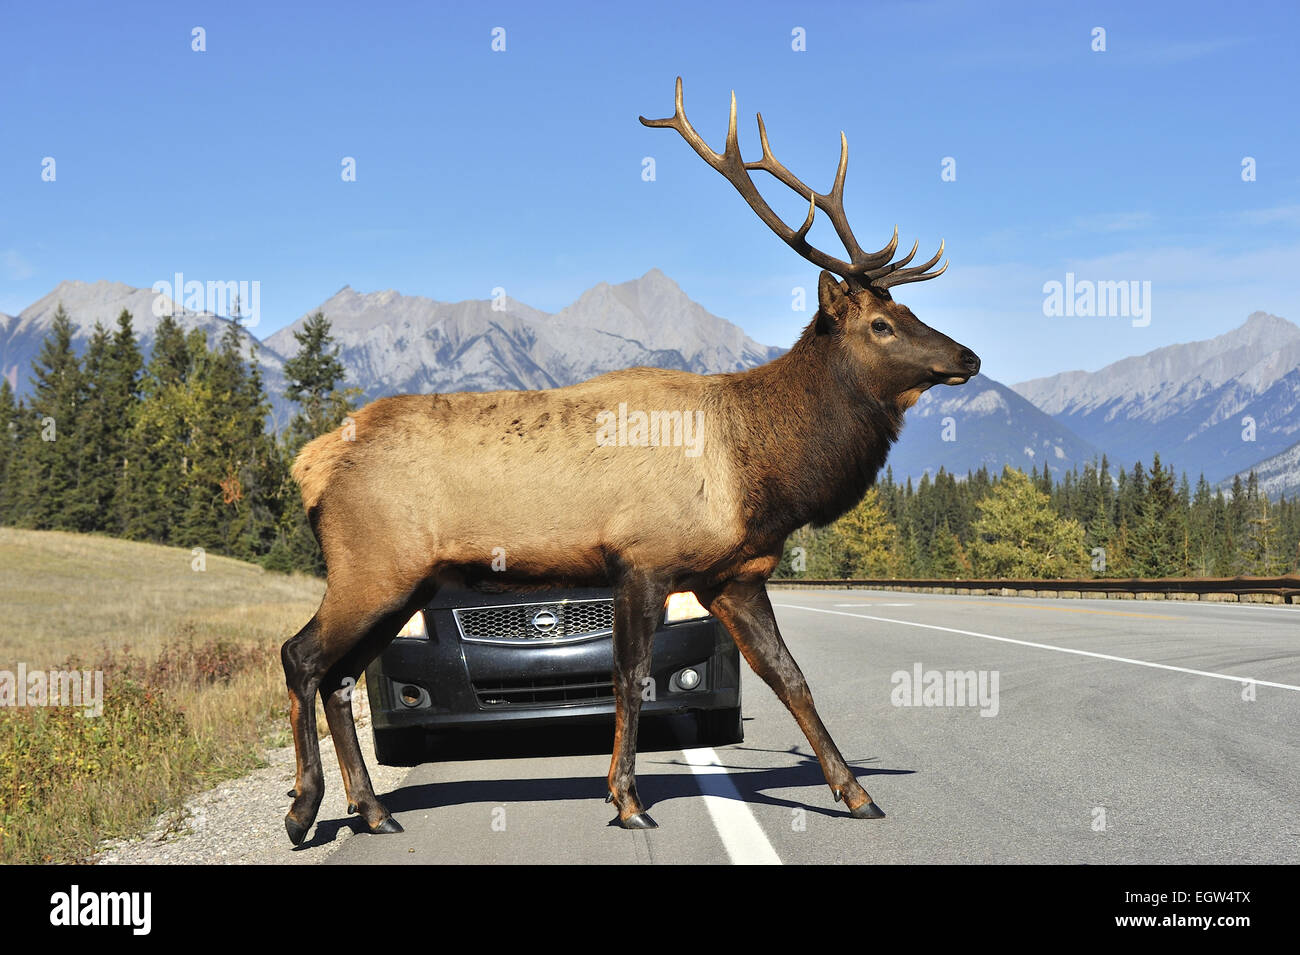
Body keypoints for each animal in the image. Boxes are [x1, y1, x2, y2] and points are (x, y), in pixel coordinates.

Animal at [280, 77, 980, 843]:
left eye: (908, 311)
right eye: (882, 324)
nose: (968, 356)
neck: (759, 469)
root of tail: (309, 461)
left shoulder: (732, 574)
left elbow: (790, 678)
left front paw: (856, 792)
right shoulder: (643, 558)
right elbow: (630, 677)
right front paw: (626, 798)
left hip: (403, 583)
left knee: (339, 677)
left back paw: (374, 811)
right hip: (372, 564)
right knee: (301, 657)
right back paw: (304, 808)